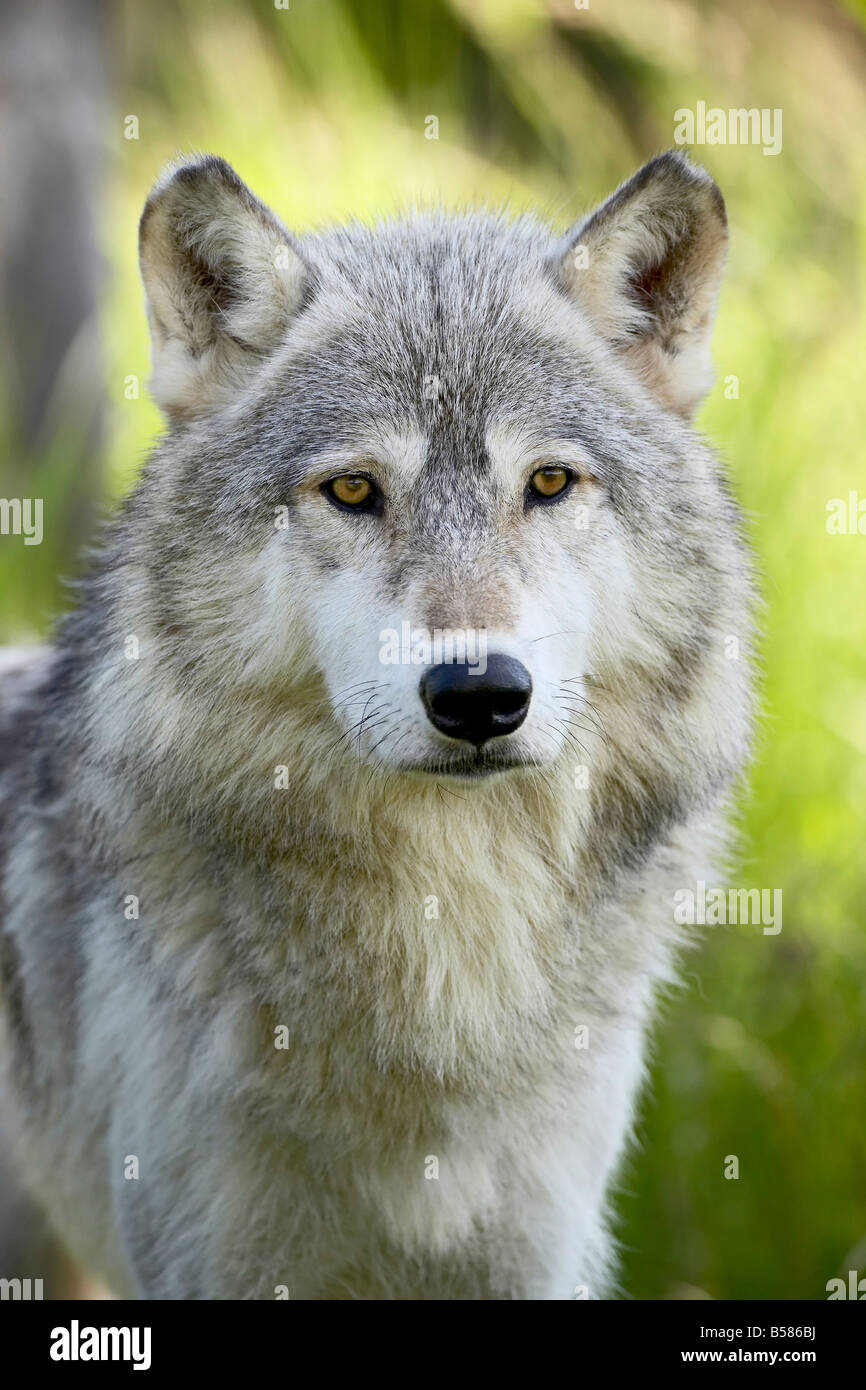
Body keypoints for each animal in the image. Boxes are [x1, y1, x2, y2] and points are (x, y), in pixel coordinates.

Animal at [0, 151, 754, 1300]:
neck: (450, 936)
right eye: (354, 489)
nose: (479, 694)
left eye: (547, 482)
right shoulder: (213, 1260)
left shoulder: (532, 1257)